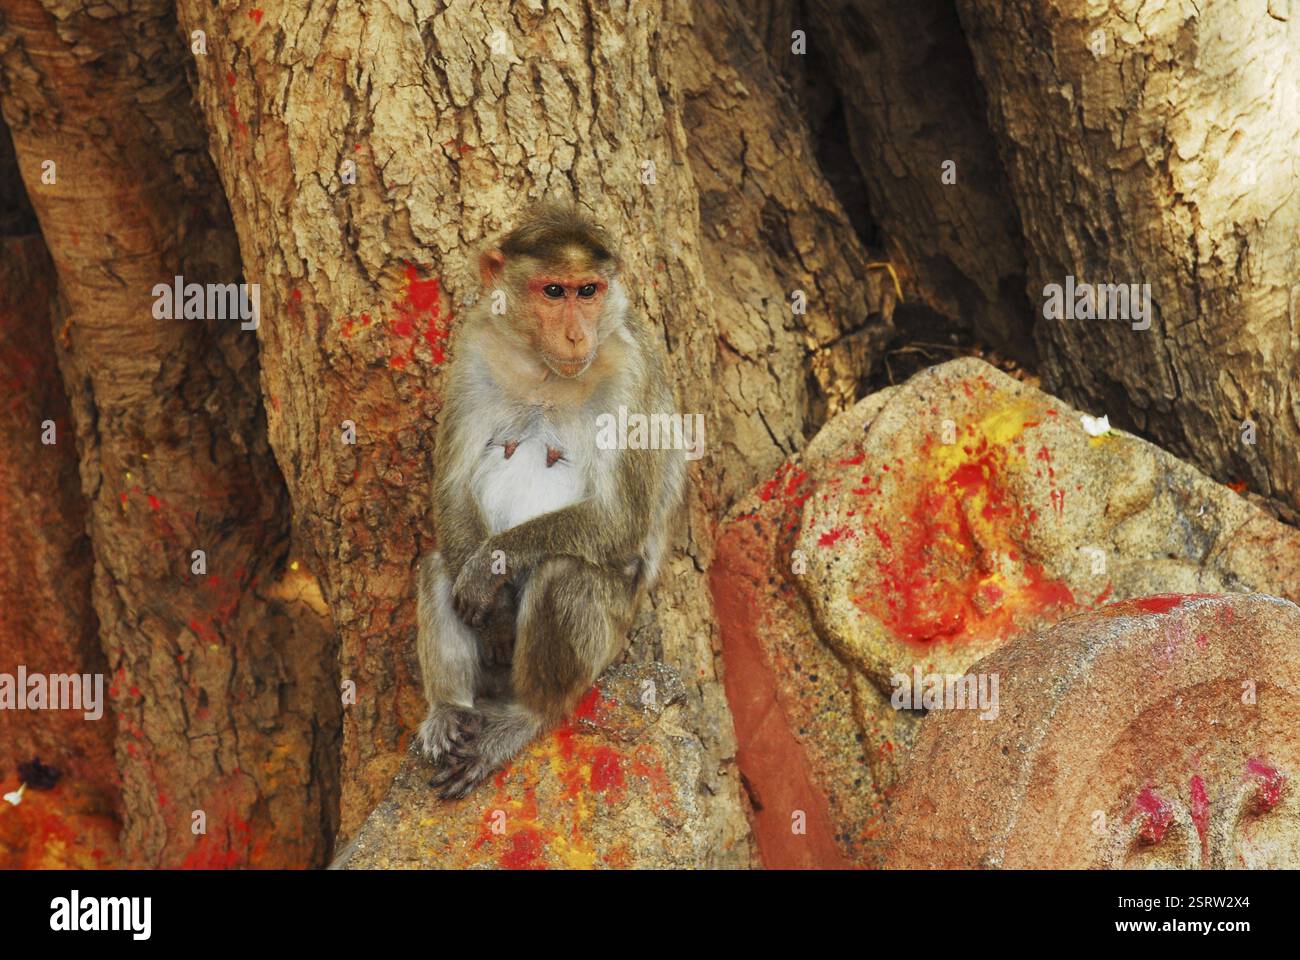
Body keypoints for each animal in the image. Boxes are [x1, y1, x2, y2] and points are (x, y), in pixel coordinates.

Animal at [414, 203, 686, 799]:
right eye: (554, 291)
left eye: (589, 291)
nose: (576, 334)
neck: (542, 367)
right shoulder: (475, 346)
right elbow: (452, 487)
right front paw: (488, 607)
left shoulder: (631, 369)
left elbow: (618, 519)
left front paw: (492, 567)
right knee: (441, 563)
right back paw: (449, 708)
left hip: (610, 637)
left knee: (566, 573)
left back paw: (527, 715)